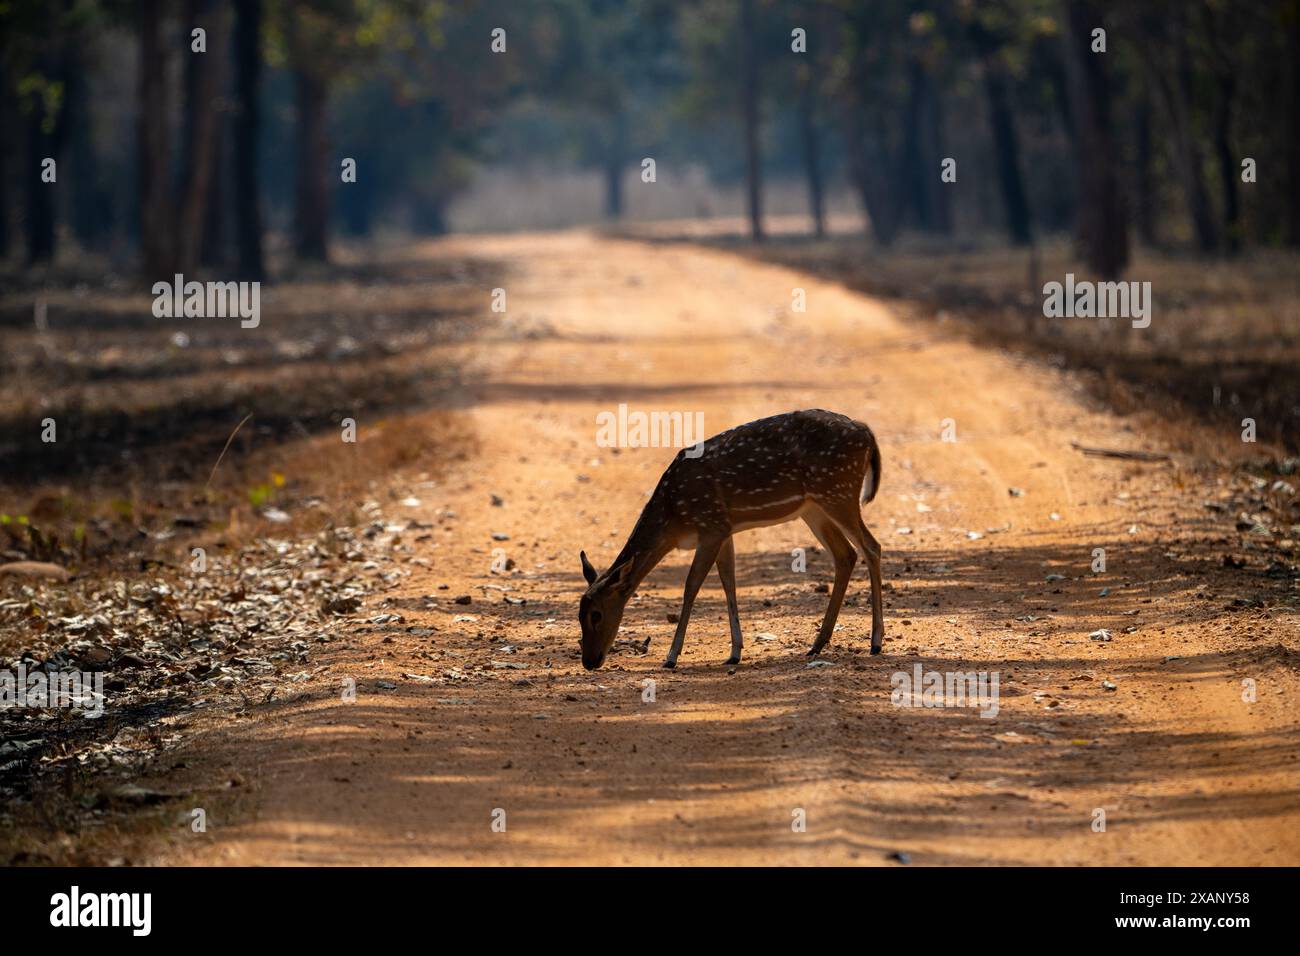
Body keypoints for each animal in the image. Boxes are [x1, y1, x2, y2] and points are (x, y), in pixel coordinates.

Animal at [578, 409, 884, 670]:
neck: (672, 517)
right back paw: (817, 644)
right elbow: (729, 583)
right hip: (814, 508)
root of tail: (867, 432)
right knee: (845, 554)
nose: (589, 661)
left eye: (596, 614)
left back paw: (876, 642)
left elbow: (691, 586)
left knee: (871, 546)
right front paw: (735, 652)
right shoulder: (725, 529)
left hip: (838, 491)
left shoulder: (710, 525)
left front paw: (671, 657)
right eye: (578, 615)